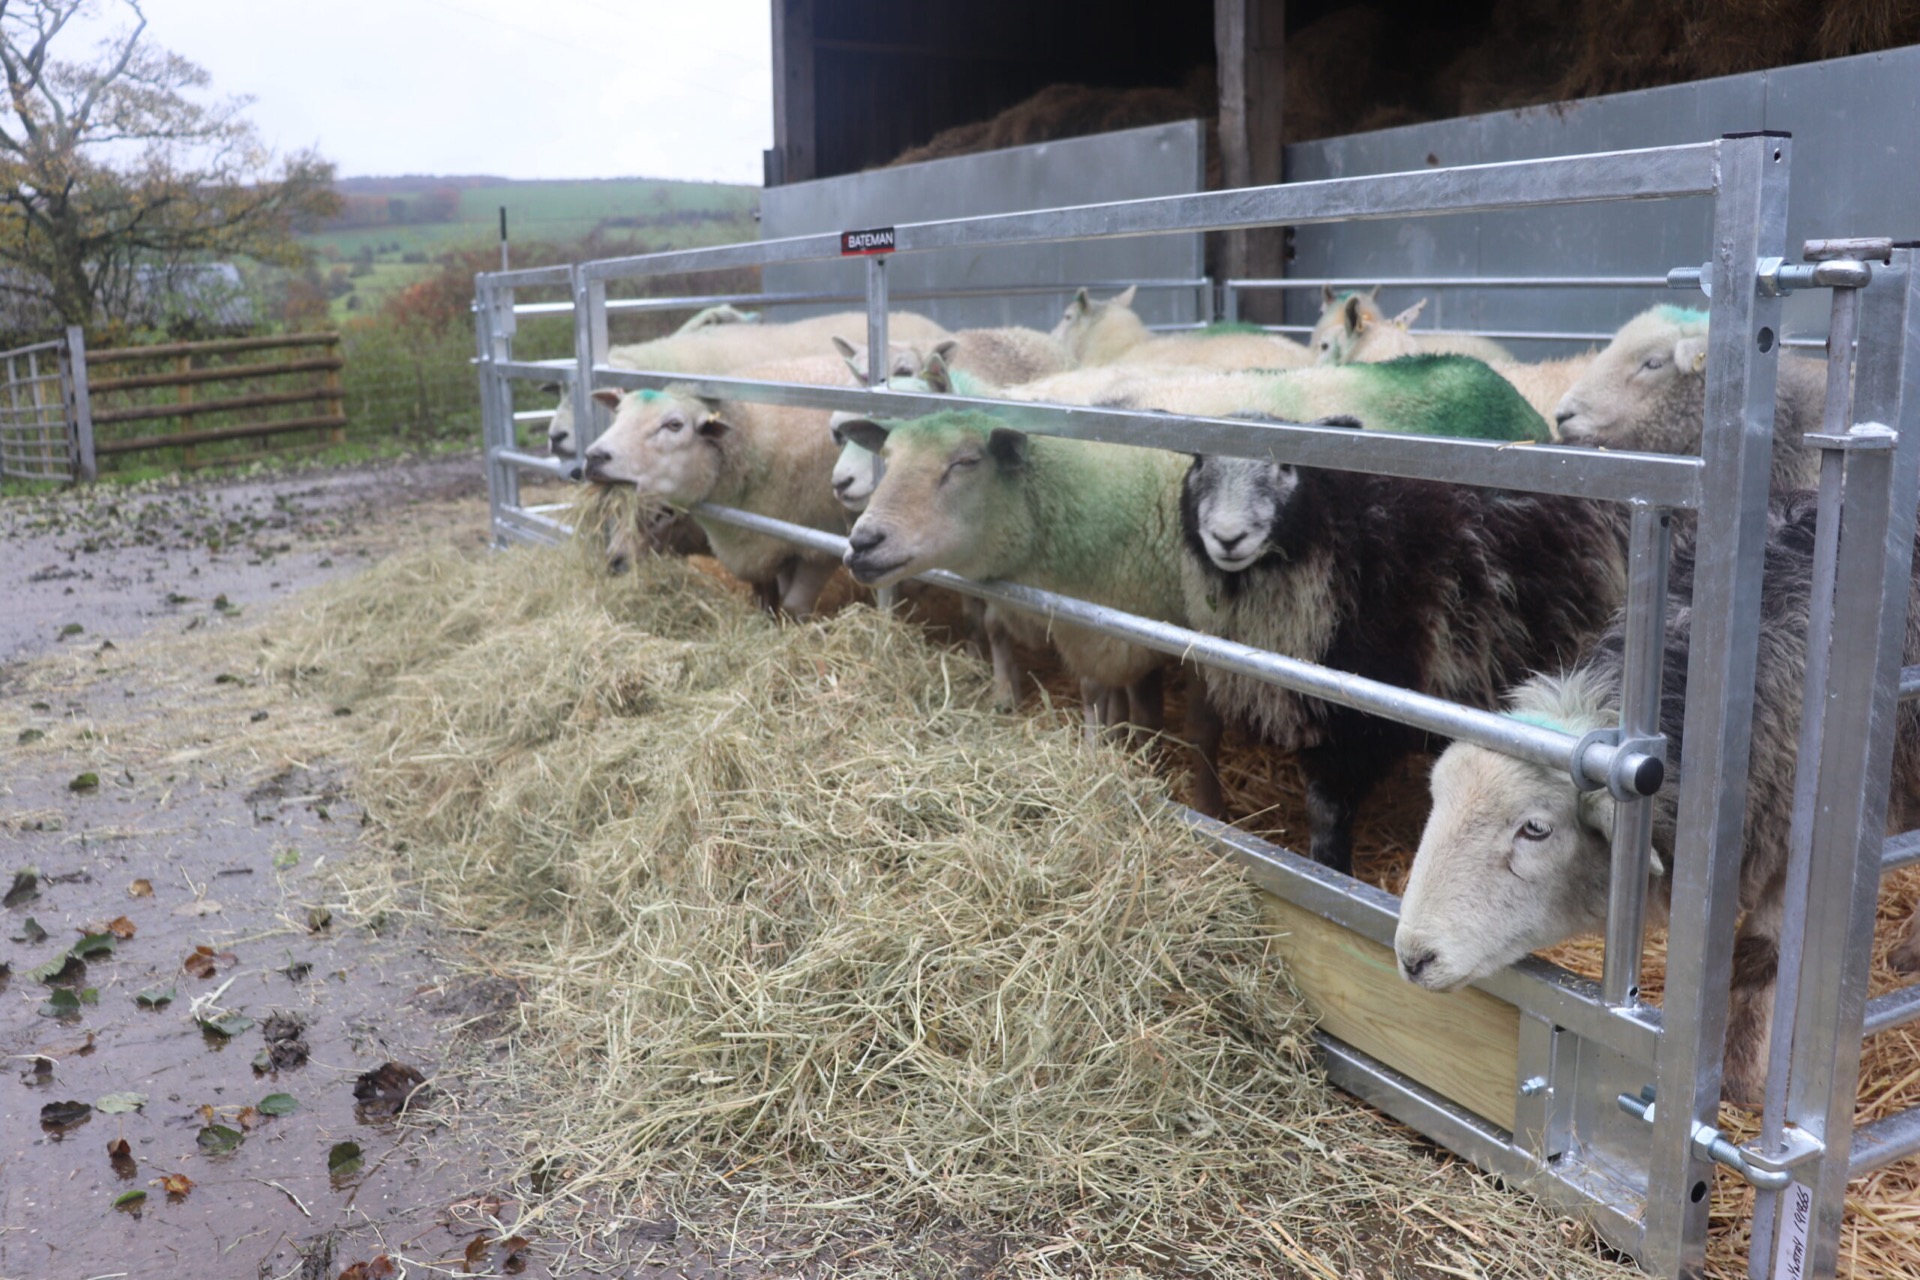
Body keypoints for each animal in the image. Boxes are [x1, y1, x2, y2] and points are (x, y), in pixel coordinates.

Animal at [580, 355, 857, 619]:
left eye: (674, 425)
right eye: (618, 413)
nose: (594, 456)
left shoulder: (819, 549)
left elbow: (794, 607)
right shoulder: (773, 547)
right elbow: (767, 601)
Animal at [1178, 421, 1626, 875]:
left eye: (1286, 466)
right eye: (1197, 462)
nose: (1228, 538)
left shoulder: (1362, 718)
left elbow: (1325, 810)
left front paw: (1330, 868)